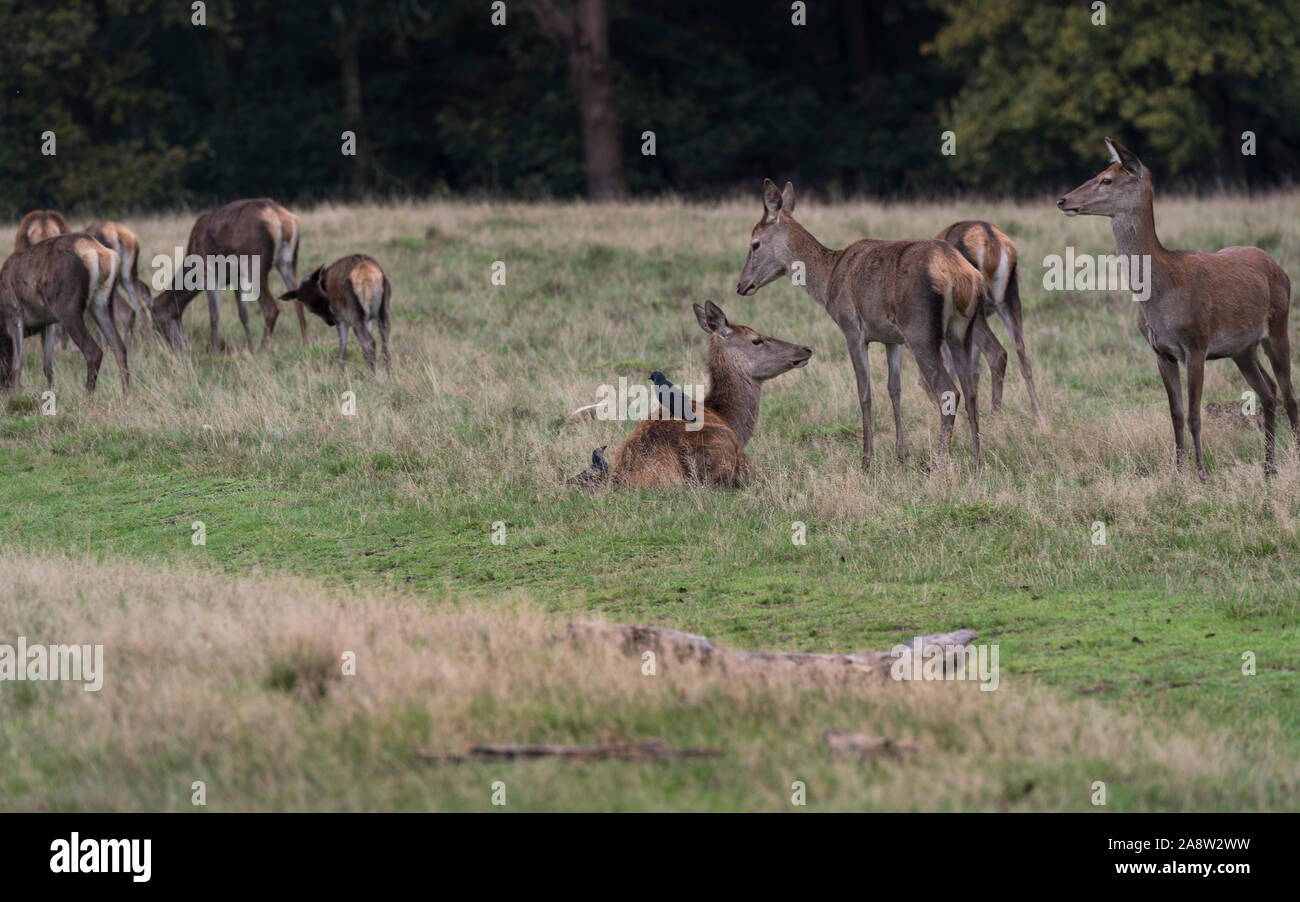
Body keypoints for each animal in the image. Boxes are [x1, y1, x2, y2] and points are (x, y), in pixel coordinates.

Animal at [0, 233, 128, 394]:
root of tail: (99, 252)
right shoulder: (47, 323)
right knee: (119, 348)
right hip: (103, 303)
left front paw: (16, 395)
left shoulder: (13, 312)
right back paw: (126, 395)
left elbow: (17, 363)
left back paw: (88, 394)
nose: (4, 389)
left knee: (94, 351)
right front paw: (51, 391)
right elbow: (48, 366)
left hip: (67, 308)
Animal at [148, 198, 303, 353]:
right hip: (289, 261)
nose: (177, 349)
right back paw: (305, 344)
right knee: (297, 301)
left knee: (271, 308)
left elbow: (214, 315)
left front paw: (213, 352)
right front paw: (250, 349)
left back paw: (263, 350)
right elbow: (243, 315)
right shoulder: (237, 277)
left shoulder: (208, 274)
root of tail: (281, 218)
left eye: (157, 324)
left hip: (254, 263)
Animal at [736, 179, 984, 469]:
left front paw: (867, 458)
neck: (828, 282)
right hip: (962, 331)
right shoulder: (892, 338)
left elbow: (864, 391)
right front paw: (901, 454)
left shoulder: (852, 328)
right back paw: (978, 461)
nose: (742, 285)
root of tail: (961, 275)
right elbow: (894, 389)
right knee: (971, 389)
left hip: (920, 330)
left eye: (754, 244)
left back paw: (940, 463)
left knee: (950, 391)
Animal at [935, 220, 1045, 424]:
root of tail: (990, 240)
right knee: (1022, 355)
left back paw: (995, 420)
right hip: (1010, 300)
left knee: (997, 352)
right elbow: (974, 369)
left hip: (974, 311)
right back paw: (1041, 419)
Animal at [1059, 138, 1297, 480]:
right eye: (1099, 173)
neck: (1161, 294)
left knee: (1289, 393)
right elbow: (1175, 413)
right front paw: (1179, 471)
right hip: (1242, 349)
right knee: (1268, 390)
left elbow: (1195, 414)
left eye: (1107, 179)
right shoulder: (1161, 352)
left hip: (1278, 325)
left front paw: (1201, 474)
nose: (1063, 200)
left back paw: (1290, 457)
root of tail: (1279, 267)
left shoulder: (1195, 344)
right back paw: (1268, 468)